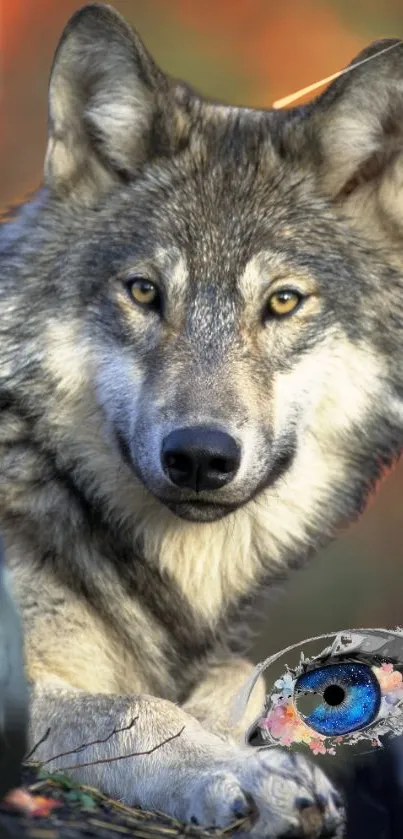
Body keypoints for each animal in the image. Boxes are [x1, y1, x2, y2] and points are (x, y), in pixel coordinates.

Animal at [2, 3, 403, 835]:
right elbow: (134, 706)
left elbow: (238, 671)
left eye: (281, 300)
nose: (198, 456)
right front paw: (247, 771)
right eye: (144, 291)